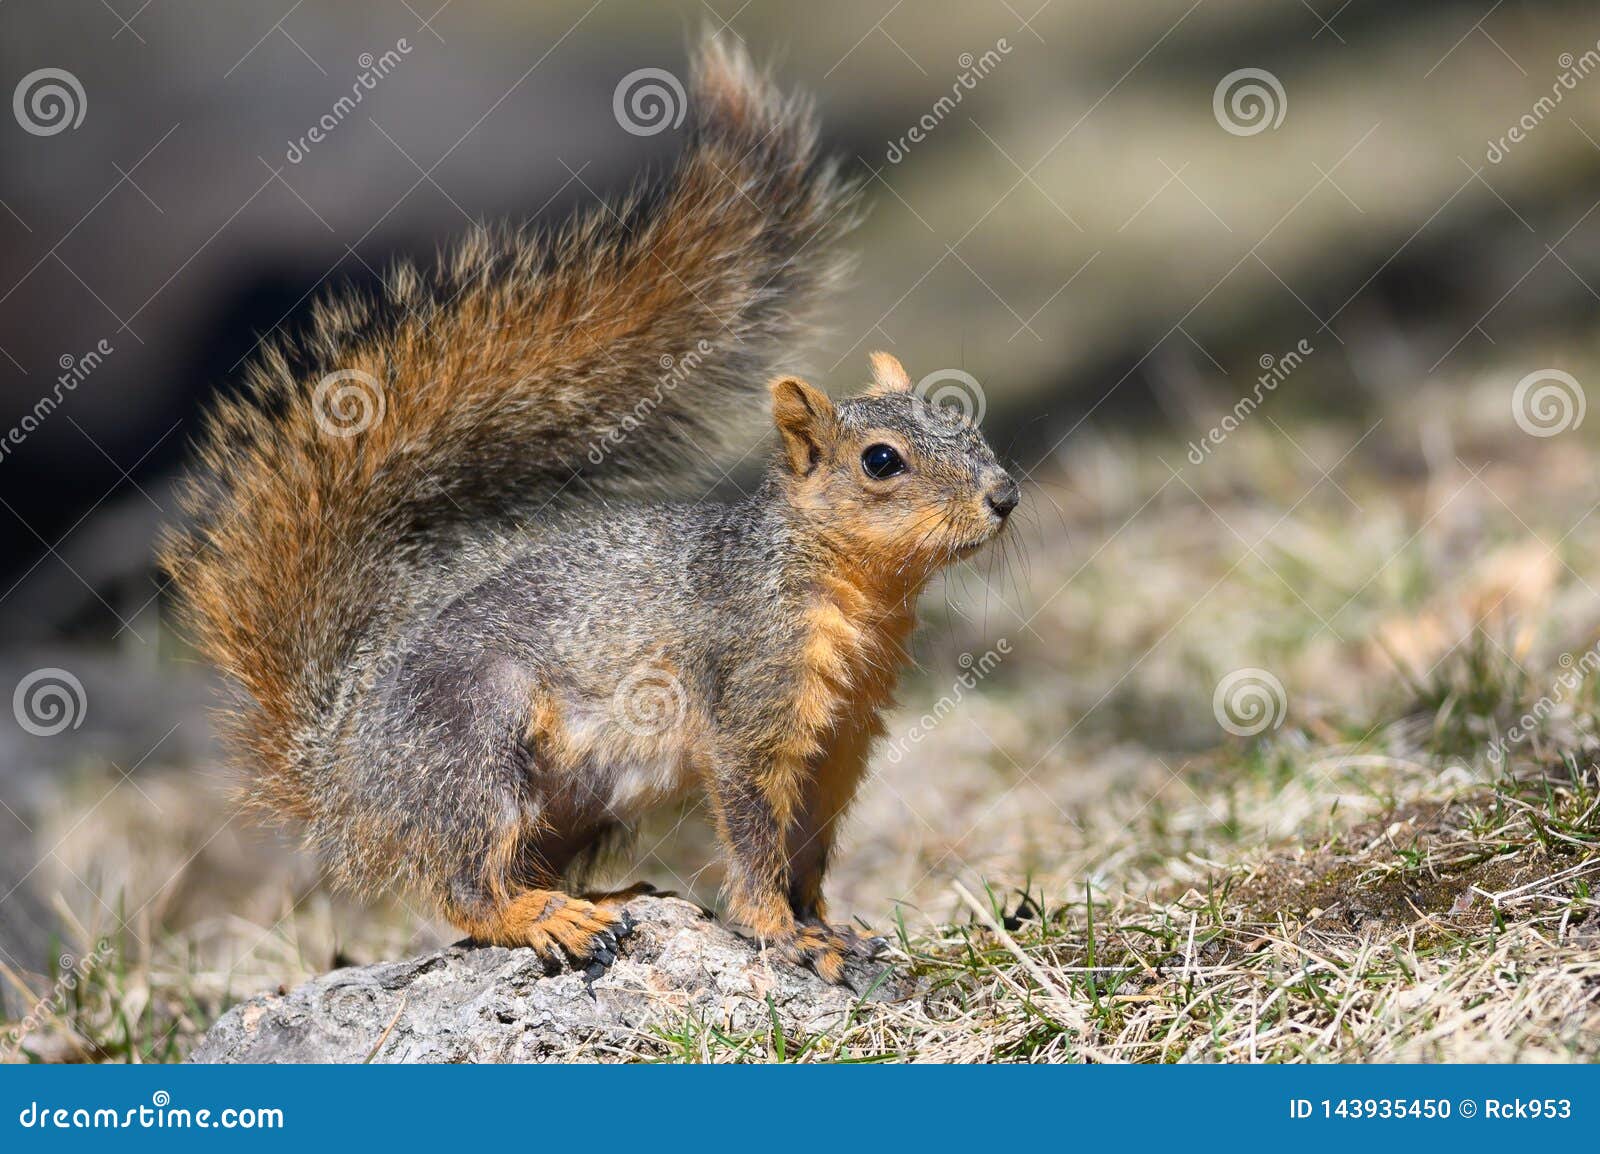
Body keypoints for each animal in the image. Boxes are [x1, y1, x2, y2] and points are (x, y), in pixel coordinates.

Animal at [161, 36, 1019, 984]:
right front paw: (781, 932)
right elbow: (755, 831)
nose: (1005, 496)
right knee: (465, 883)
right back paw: (545, 918)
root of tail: (342, 773)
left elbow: (810, 847)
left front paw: (830, 926)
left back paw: (607, 894)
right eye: (881, 462)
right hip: (472, 739)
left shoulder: (842, 740)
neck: (847, 586)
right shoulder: (749, 695)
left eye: (963, 420)